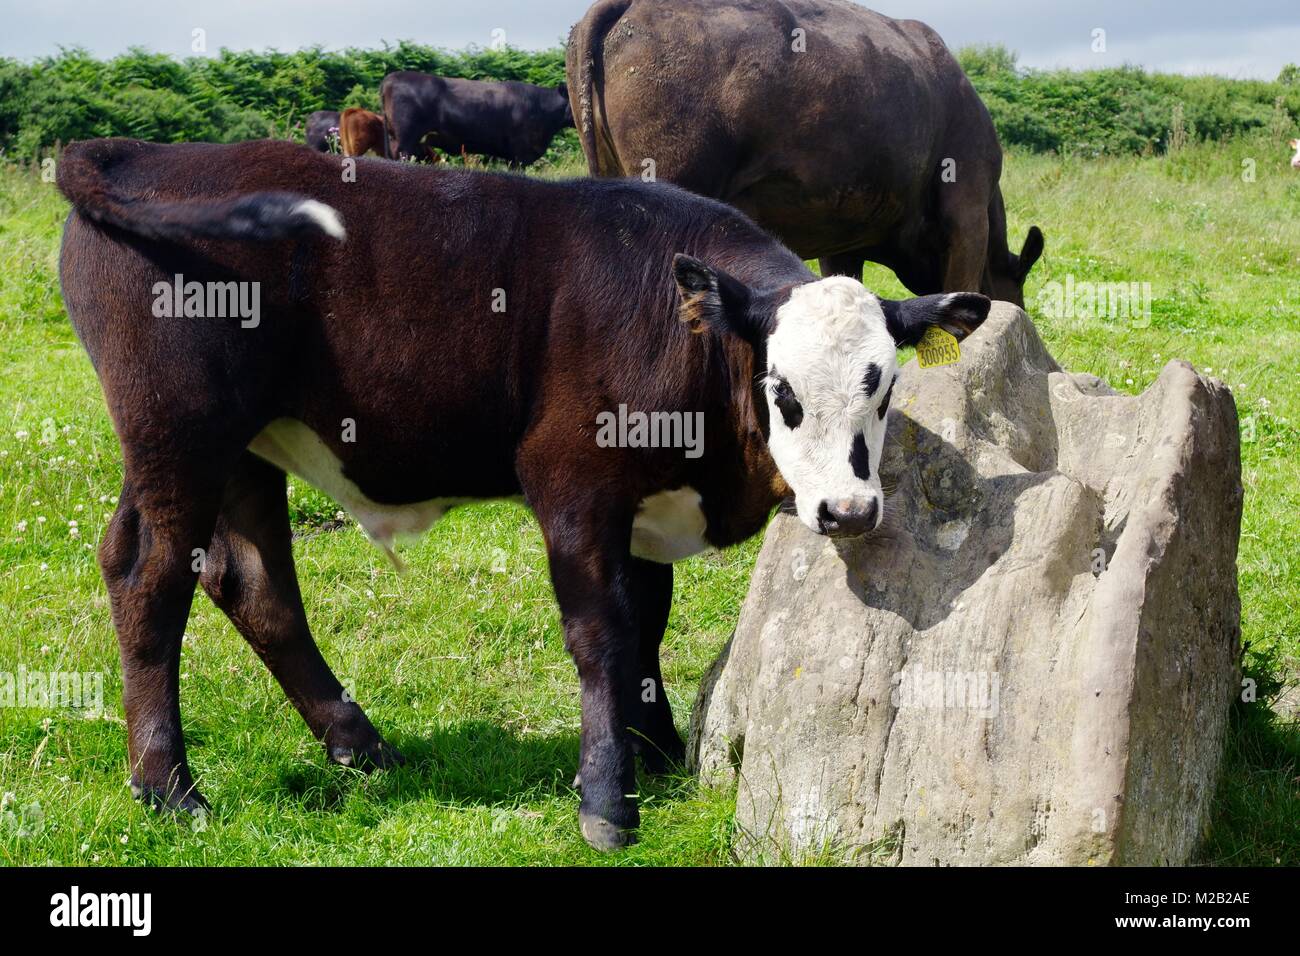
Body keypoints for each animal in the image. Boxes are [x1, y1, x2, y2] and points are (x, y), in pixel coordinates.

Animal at [56, 137, 989, 850]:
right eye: (781, 389)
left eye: (884, 386)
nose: (849, 511)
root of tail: (143, 150)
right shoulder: (572, 485)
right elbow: (602, 635)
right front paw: (608, 800)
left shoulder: (638, 503)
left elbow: (647, 620)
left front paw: (655, 749)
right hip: (178, 434)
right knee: (148, 576)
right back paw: (170, 788)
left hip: (244, 450)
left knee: (253, 585)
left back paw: (360, 747)